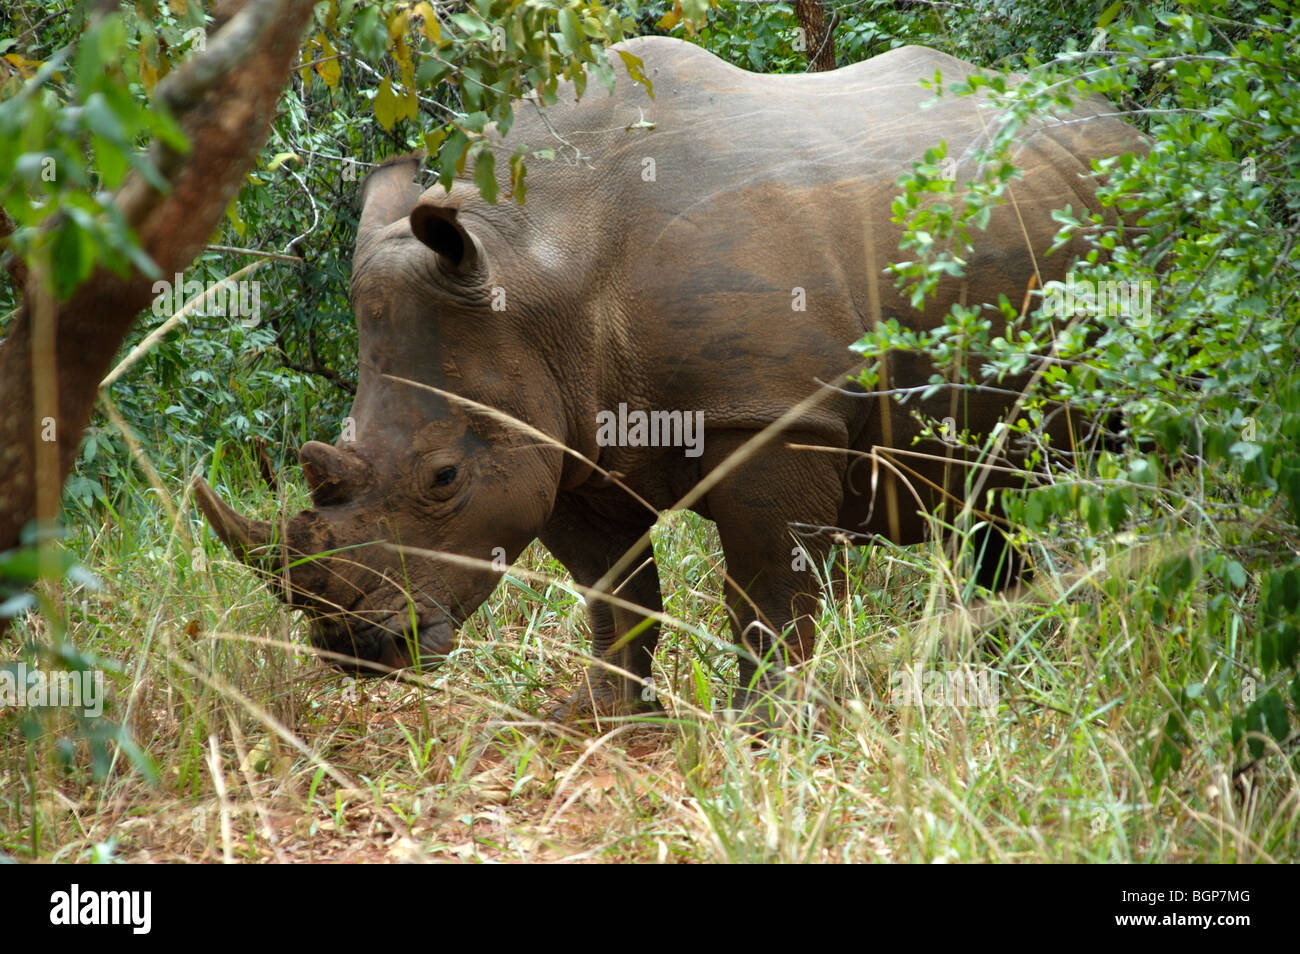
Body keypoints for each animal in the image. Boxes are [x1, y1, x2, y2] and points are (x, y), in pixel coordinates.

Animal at [195, 36, 1143, 714]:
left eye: (443, 479)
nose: (356, 649)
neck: (535, 262)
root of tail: (1123, 124)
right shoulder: (560, 435)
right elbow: (617, 594)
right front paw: (602, 717)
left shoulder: (773, 414)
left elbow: (768, 588)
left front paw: (764, 726)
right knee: (991, 492)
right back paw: (1005, 668)